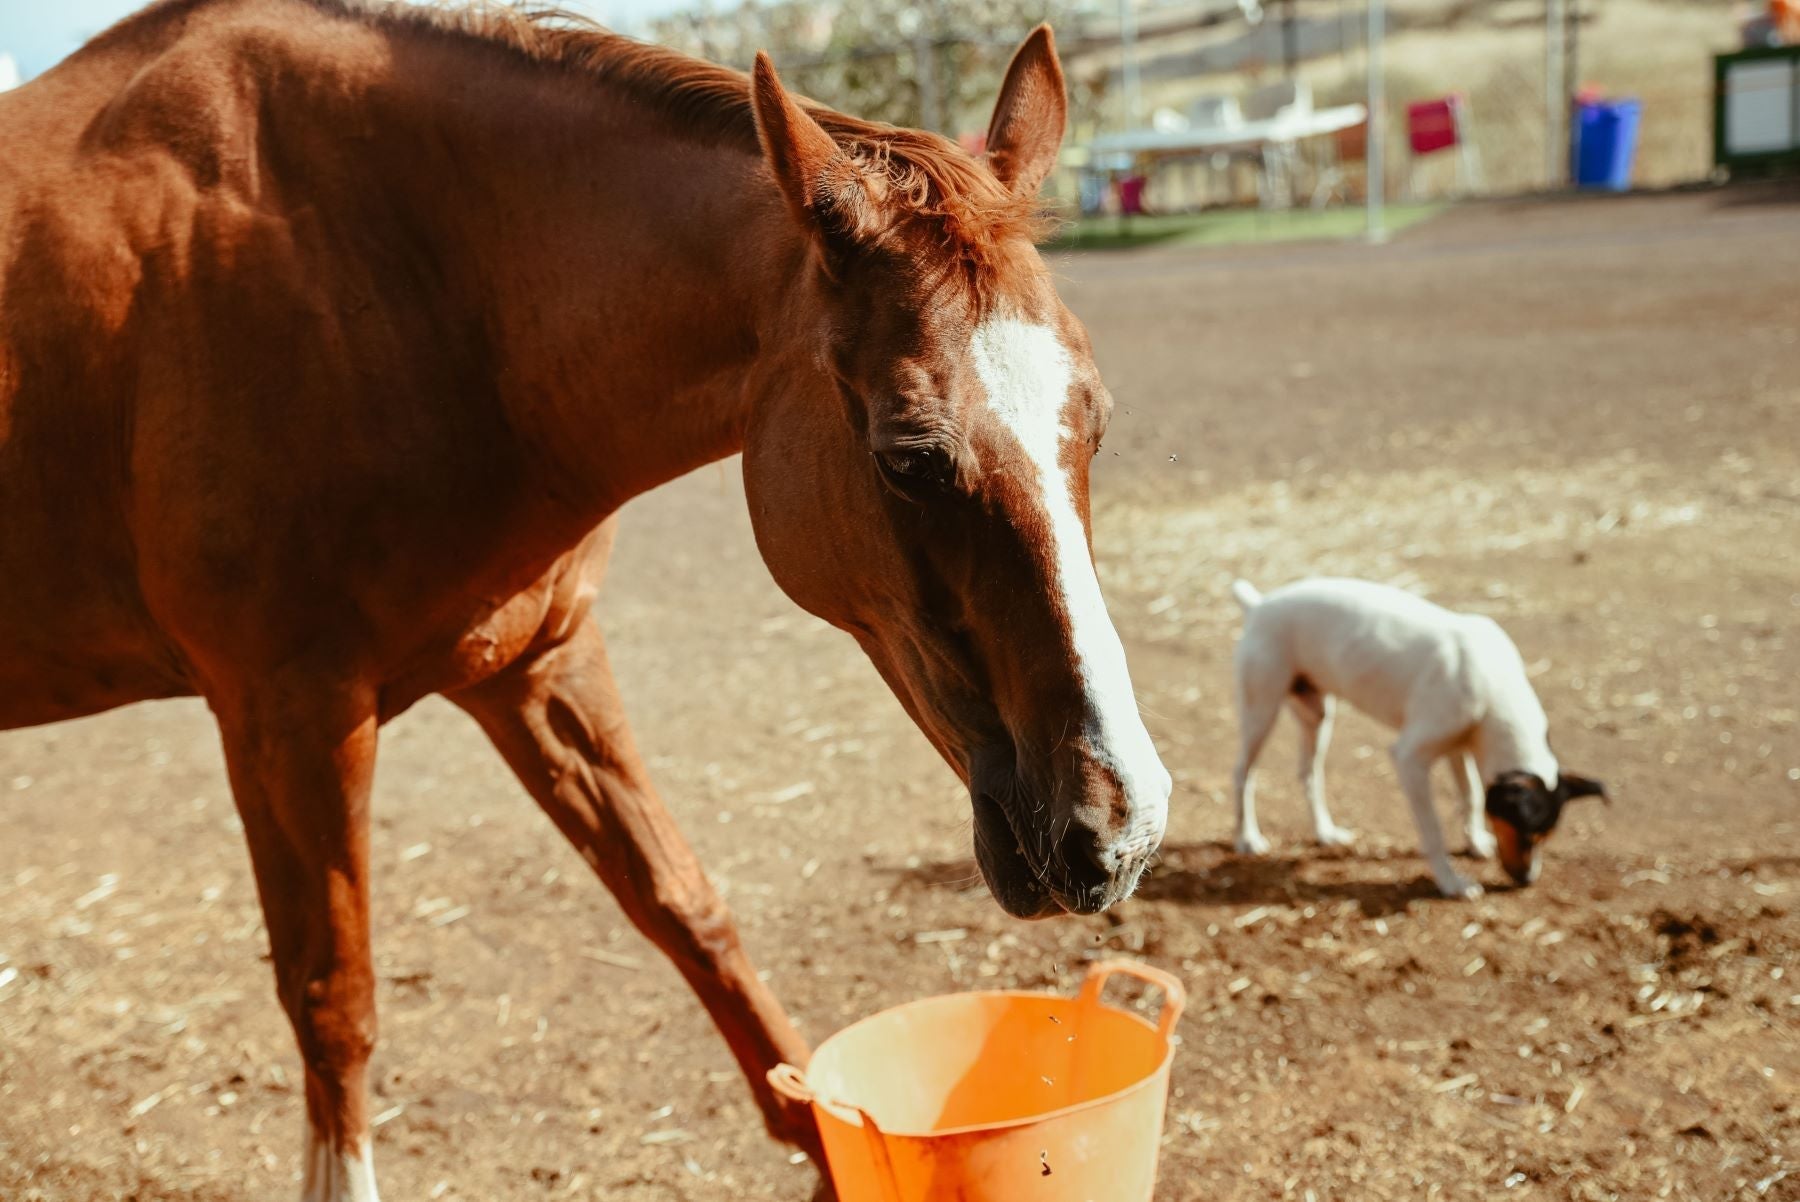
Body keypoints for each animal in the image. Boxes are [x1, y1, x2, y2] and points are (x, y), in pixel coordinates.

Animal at [0, 1, 1172, 1196]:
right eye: (908, 459)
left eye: (1098, 420)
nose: (1118, 827)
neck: (400, 283)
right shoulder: (289, 719)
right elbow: (334, 1002)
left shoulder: (541, 667)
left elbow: (688, 909)